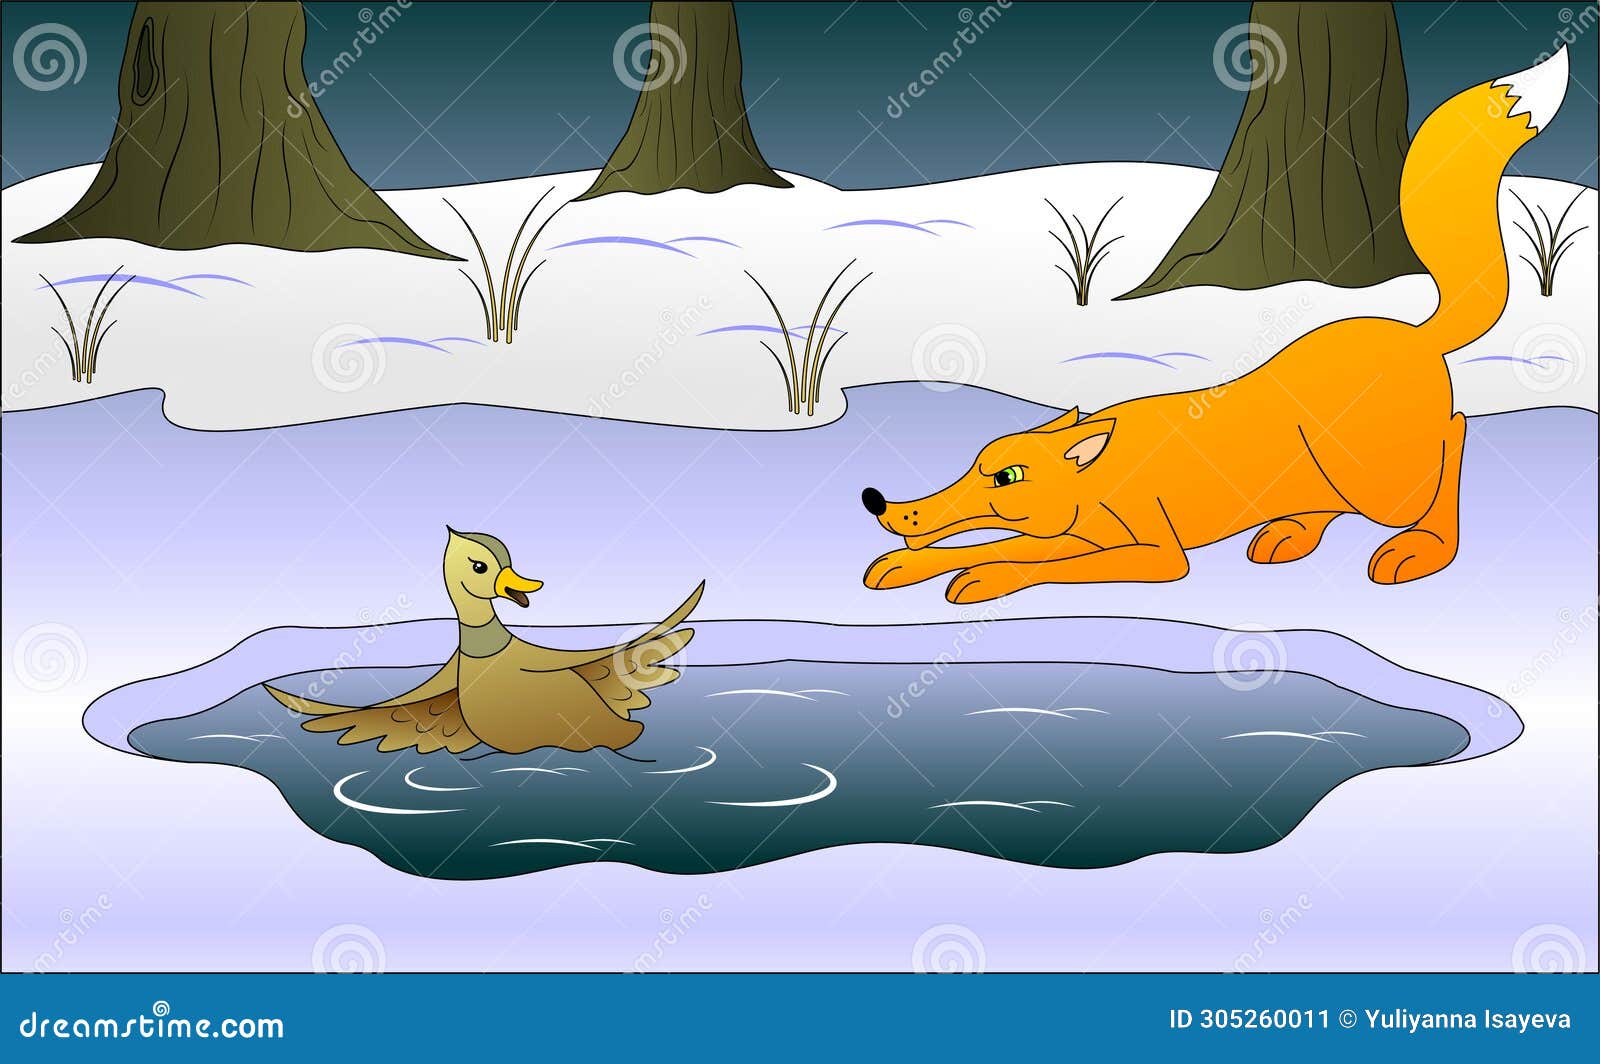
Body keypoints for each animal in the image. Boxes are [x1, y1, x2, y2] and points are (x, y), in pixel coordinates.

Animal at [862, 48, 1571, 605]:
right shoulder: (1070, 532)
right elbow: (985, 547)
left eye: (1006, 477)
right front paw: (907, 564)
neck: (1099, 477)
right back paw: (1292, 532)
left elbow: (1035, 565)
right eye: (976, 466)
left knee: (1455, 439)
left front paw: (985, 579)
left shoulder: (1155, 555)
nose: (882, 504)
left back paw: (1422, 547)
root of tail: (1414, 329)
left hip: (1385, 480)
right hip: (1328, 466)